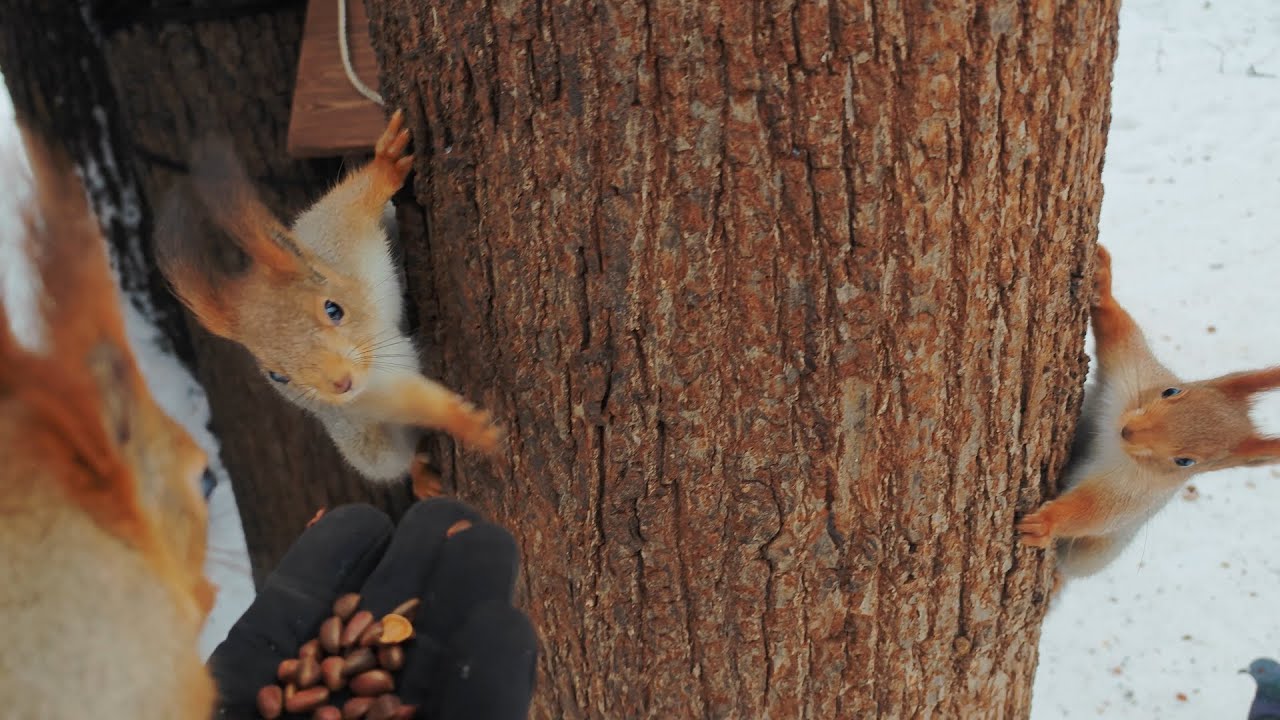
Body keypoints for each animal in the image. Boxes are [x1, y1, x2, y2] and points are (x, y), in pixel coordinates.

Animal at [155, 110, 499, 497]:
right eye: (277, 376)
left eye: (333, 309)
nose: (340, 384)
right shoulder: (370, 393)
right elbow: (411, 401)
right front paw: (467, 425)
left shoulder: (334, 235)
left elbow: (347, 205)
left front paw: (386, 163)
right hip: (366, 444)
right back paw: (421, 475)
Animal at [1018, 245, 1280, 579]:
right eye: (1172, 391)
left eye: (1185, 462)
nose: (1128, 431)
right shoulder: (1132, 370)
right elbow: (1118, 330)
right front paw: (1102, 279)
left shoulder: (1135, 494)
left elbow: (1094, 511)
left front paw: (1045, 524)